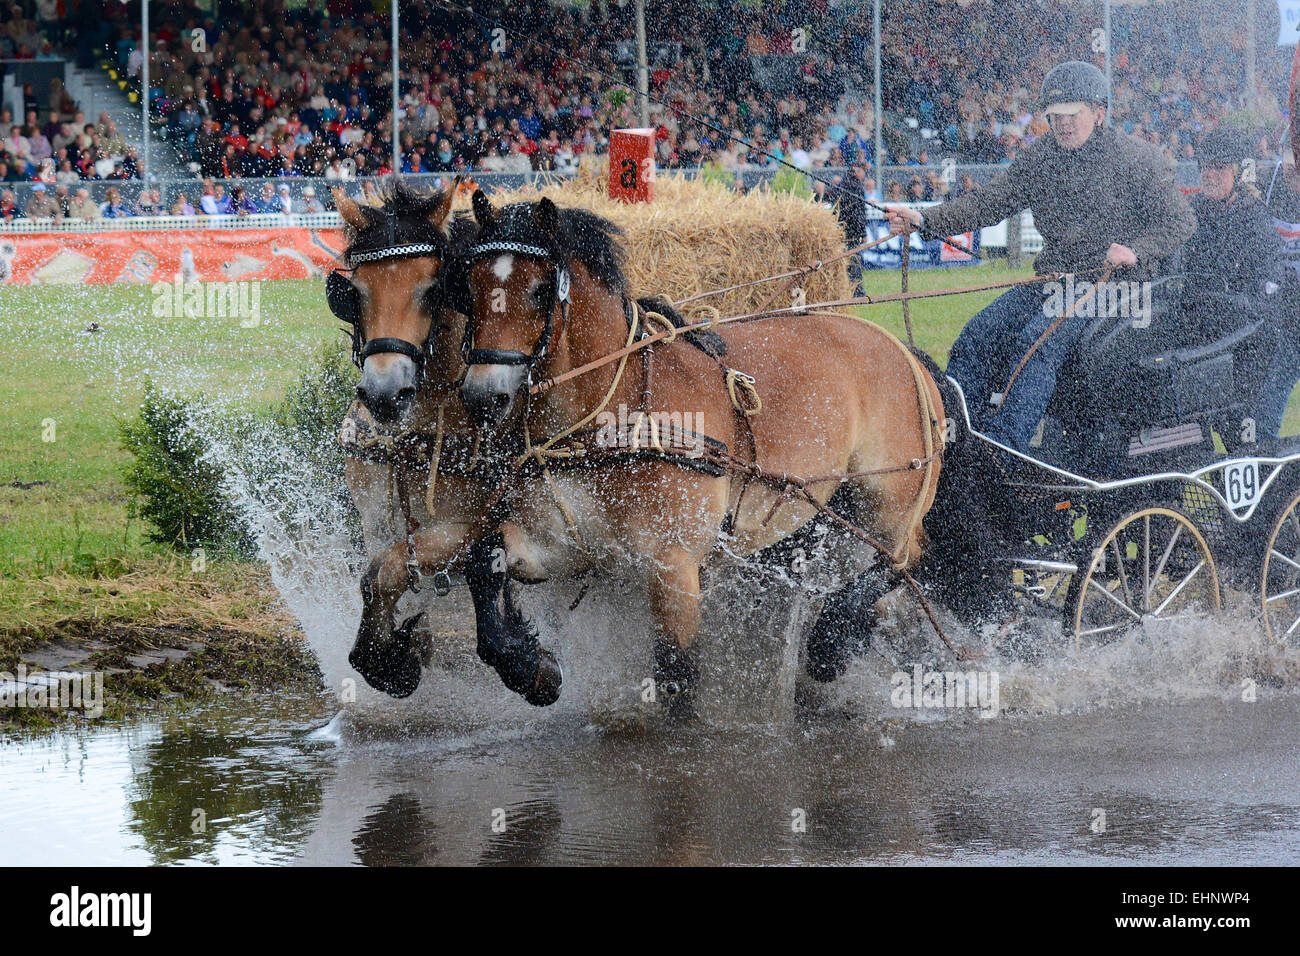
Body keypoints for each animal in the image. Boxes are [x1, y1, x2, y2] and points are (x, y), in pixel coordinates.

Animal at [452, 190, 948, 710]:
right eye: (470, 286)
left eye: (541, 290)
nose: (483, 396)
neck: (615, 415)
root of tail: (903, 350)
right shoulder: (562, 544)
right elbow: (483, 563)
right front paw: (531, 667)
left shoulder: (675, 566)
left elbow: (676, 672)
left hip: (888, 500)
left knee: (905, 559)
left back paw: (831, 640)